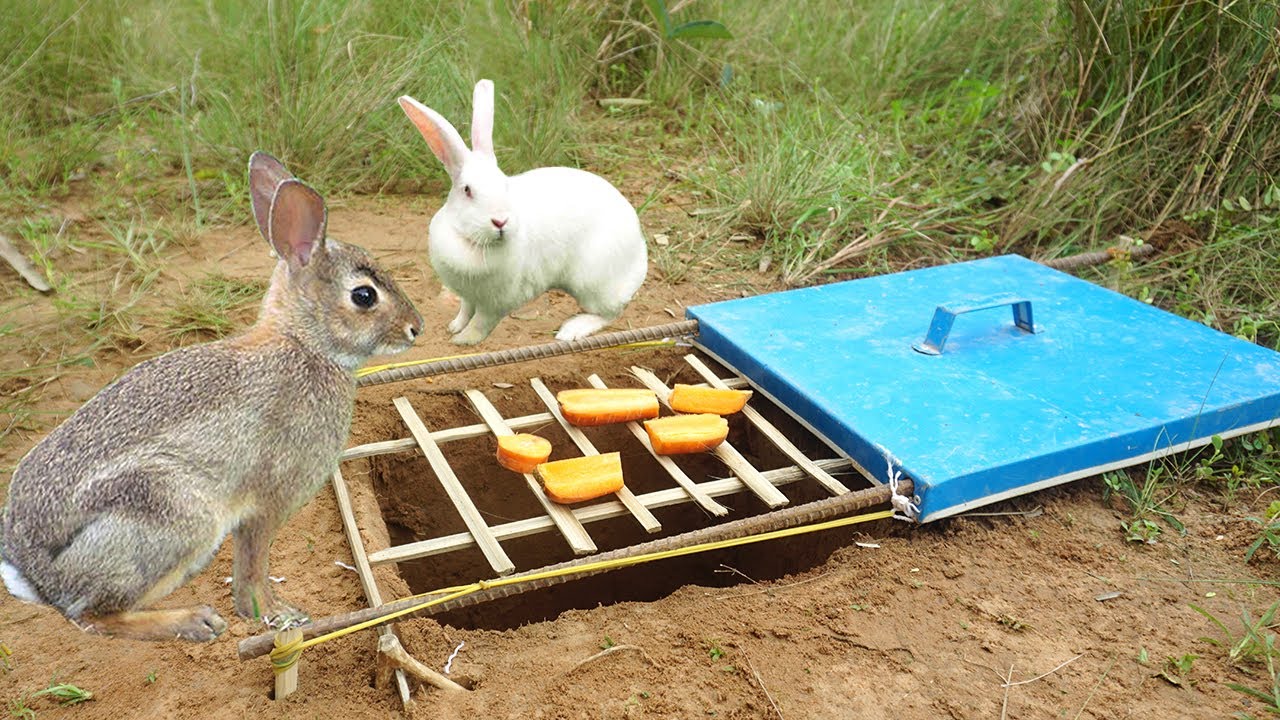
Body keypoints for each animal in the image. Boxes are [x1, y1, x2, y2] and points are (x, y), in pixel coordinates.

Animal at [0, 152, 423, 642]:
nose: (416, 328)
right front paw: (276, 615)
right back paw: (194, 621)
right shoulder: (269, 499)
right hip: (175, 515)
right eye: (364, 296)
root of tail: (33, 576)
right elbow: (254, 565)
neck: (306, 344)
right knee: (90, 616)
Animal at [398, 79, 648, 345]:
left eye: (505, 185)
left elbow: (480, 323)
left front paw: (463, 340)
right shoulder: (468, 295)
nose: (500, 221)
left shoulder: (495, 303)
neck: (475, 244)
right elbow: (465, 310)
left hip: (592, 282)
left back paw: (571, 330)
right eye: (467, 190)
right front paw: (454, 327)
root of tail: (639, 253)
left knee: (609, 313)